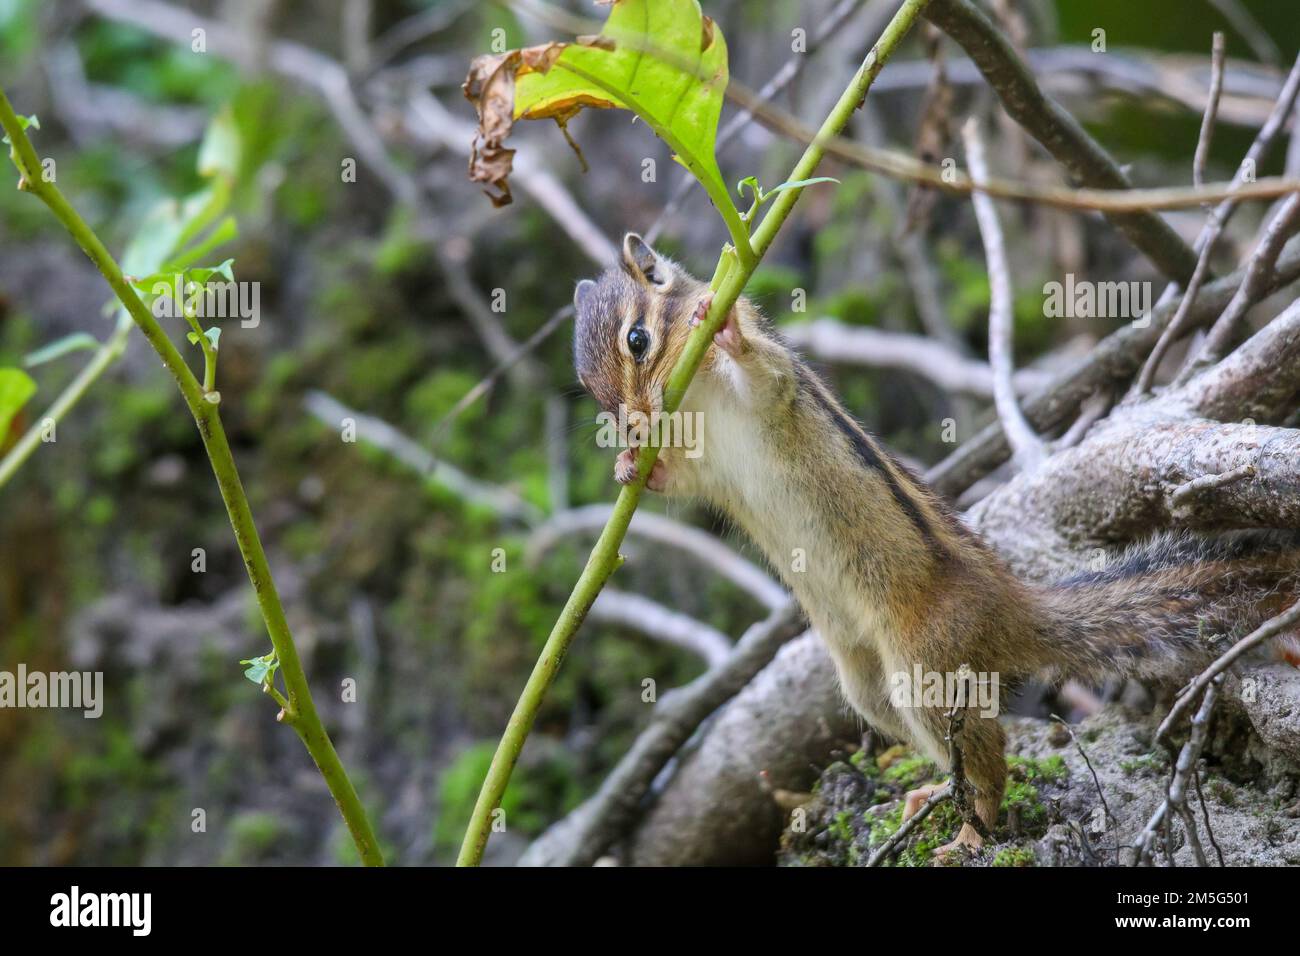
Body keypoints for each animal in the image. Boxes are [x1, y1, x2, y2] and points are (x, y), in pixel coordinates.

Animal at [574, 233, 1300, 858]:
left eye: (637, 339)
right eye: (588, 385)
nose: (628, 423)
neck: (692, 397)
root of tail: (1011, 608)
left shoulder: (771, 390)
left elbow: (765, 373)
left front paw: (717, 325)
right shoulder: (702, 465)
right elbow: (680, 477)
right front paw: (632, 466)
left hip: (923, 666)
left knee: (993, 752)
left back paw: (975, 828)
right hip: (869, 684)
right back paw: (932, 796)